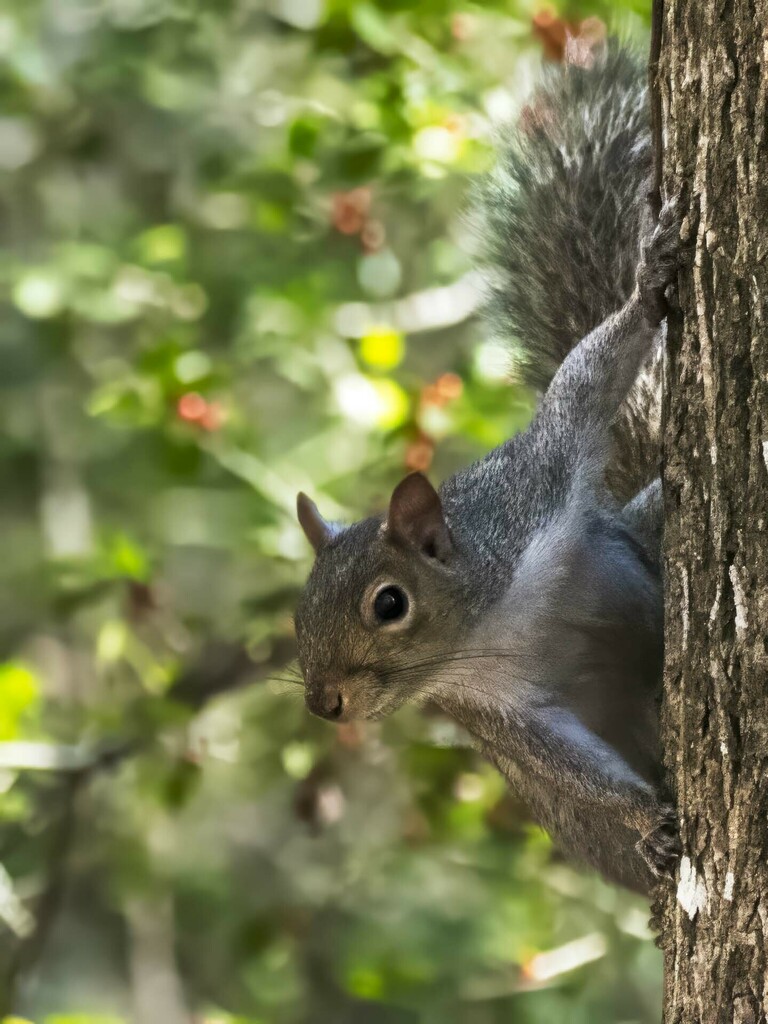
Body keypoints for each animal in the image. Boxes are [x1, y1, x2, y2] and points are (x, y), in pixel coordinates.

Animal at [293, 46, 682, 896]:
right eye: (298, 617)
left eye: (389, 603)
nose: (324, 703)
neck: (496, 617)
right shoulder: (501, 709)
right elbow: (565, 763)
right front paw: (648, 818)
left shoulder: (537, 479)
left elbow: (585, 383)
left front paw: (647, 291)